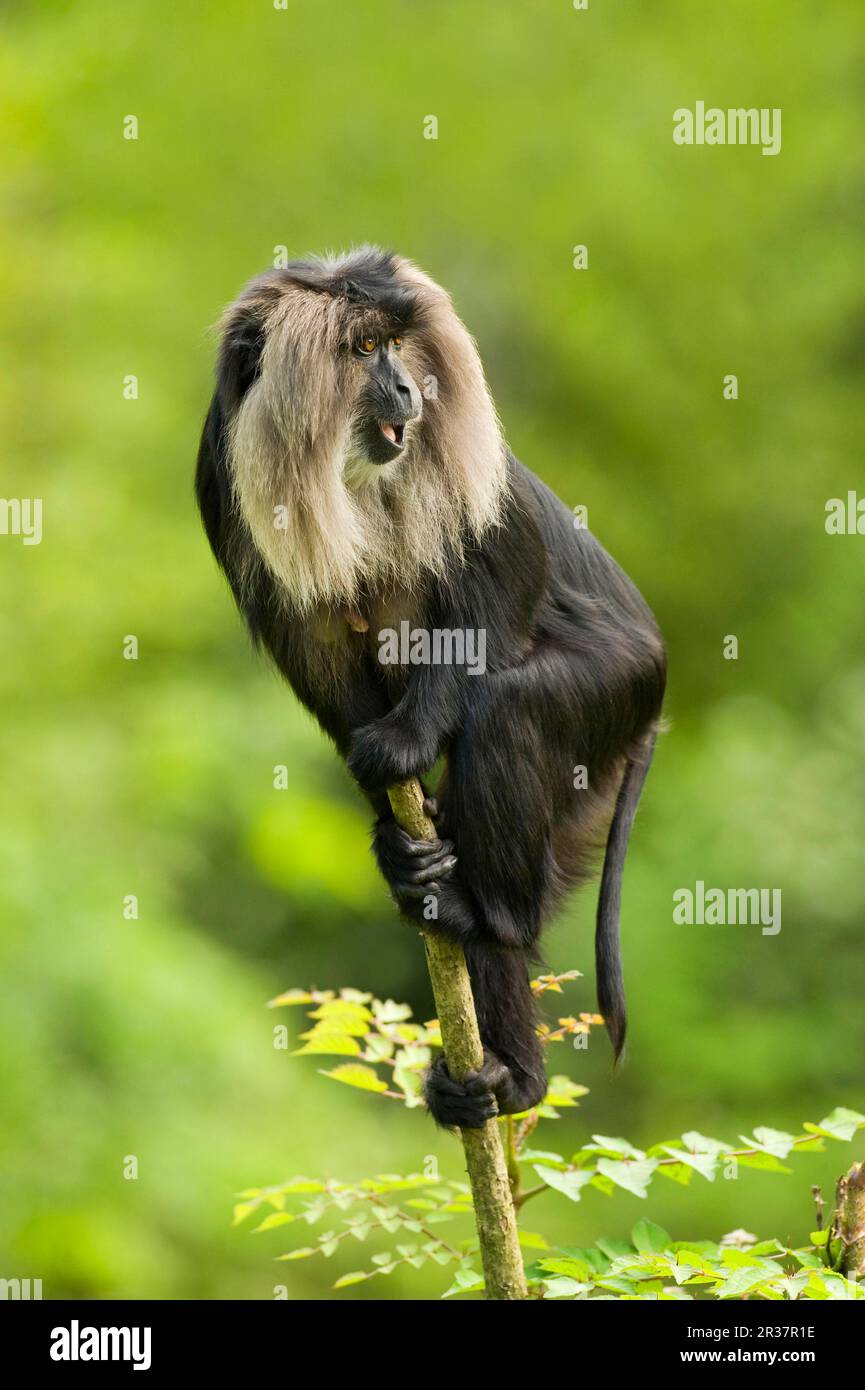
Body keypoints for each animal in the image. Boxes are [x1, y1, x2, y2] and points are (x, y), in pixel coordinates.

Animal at [196, 247, 665, 1129]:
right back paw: (508, 1076)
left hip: (620, 683)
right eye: (360, 350)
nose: (410, 389)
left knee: (509, 712)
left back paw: (487, 918)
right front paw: (393, 834)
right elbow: (313, 654)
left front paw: (408, 743)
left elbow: (502, 571)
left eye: (393, 345)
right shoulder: (223, 482)